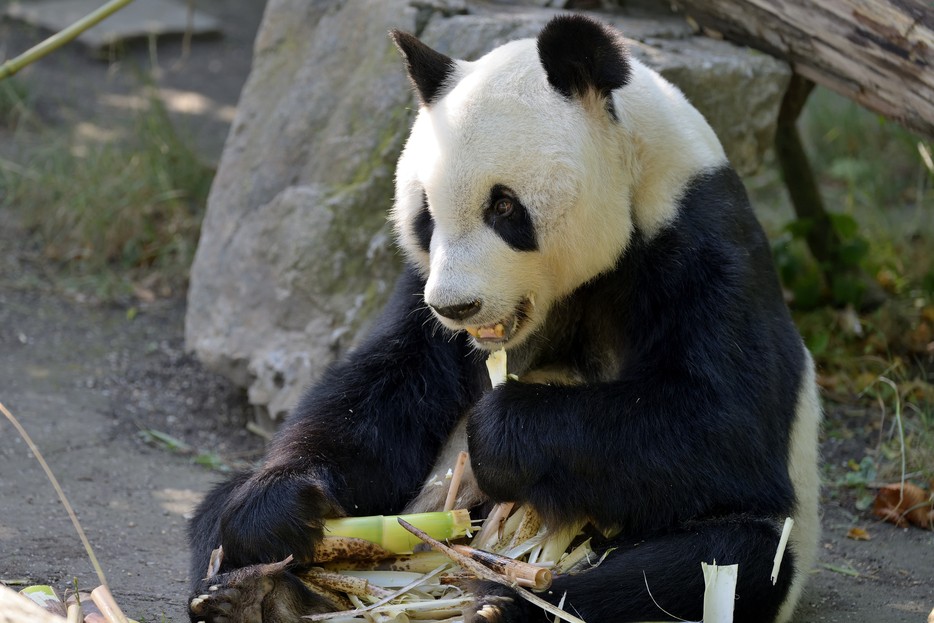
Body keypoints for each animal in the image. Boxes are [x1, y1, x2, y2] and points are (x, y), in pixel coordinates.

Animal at [187, 14, 821, 623]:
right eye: (426, 215)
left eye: (504, 206)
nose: (456, 306)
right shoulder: (423, 291)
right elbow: (383, 390)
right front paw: (279, 512)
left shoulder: (699, 239)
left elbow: (723, 422)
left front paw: (496, 433)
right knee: (215, 507)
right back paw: (259, 592)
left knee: (718, 562)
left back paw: (501, 604)